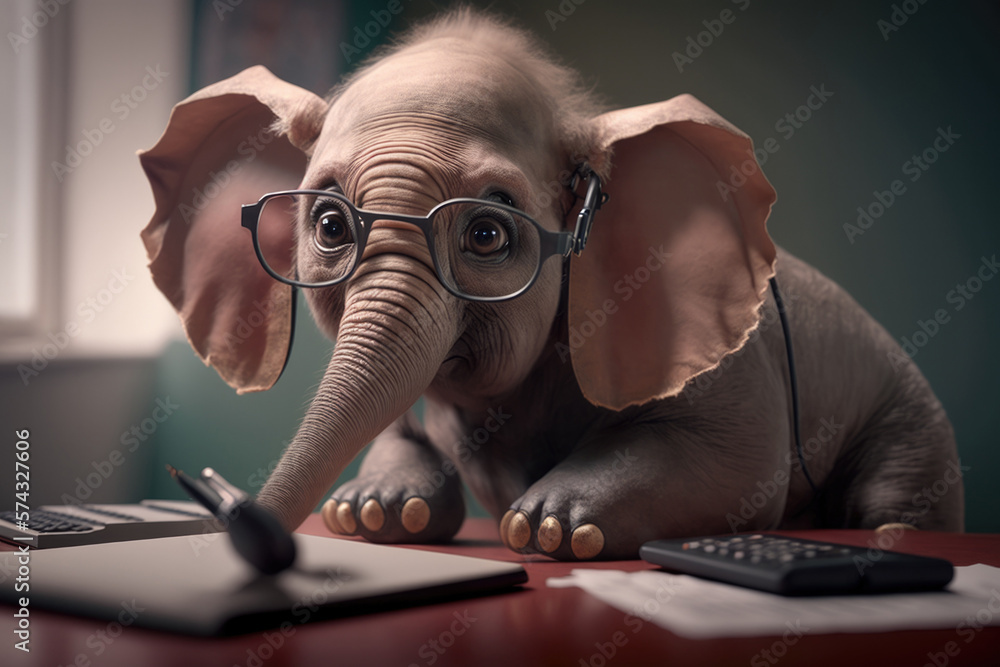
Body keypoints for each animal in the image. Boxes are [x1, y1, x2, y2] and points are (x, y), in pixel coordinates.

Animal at [138, 9, 963, 560]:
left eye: (486, 235)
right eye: (332, 225)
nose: (247, 534)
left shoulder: (715, 344)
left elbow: (741, 462)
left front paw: (551, 527)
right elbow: (397, 427)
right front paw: (374, 514)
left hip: (908, 412)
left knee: (892, 485)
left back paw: (895, 532)